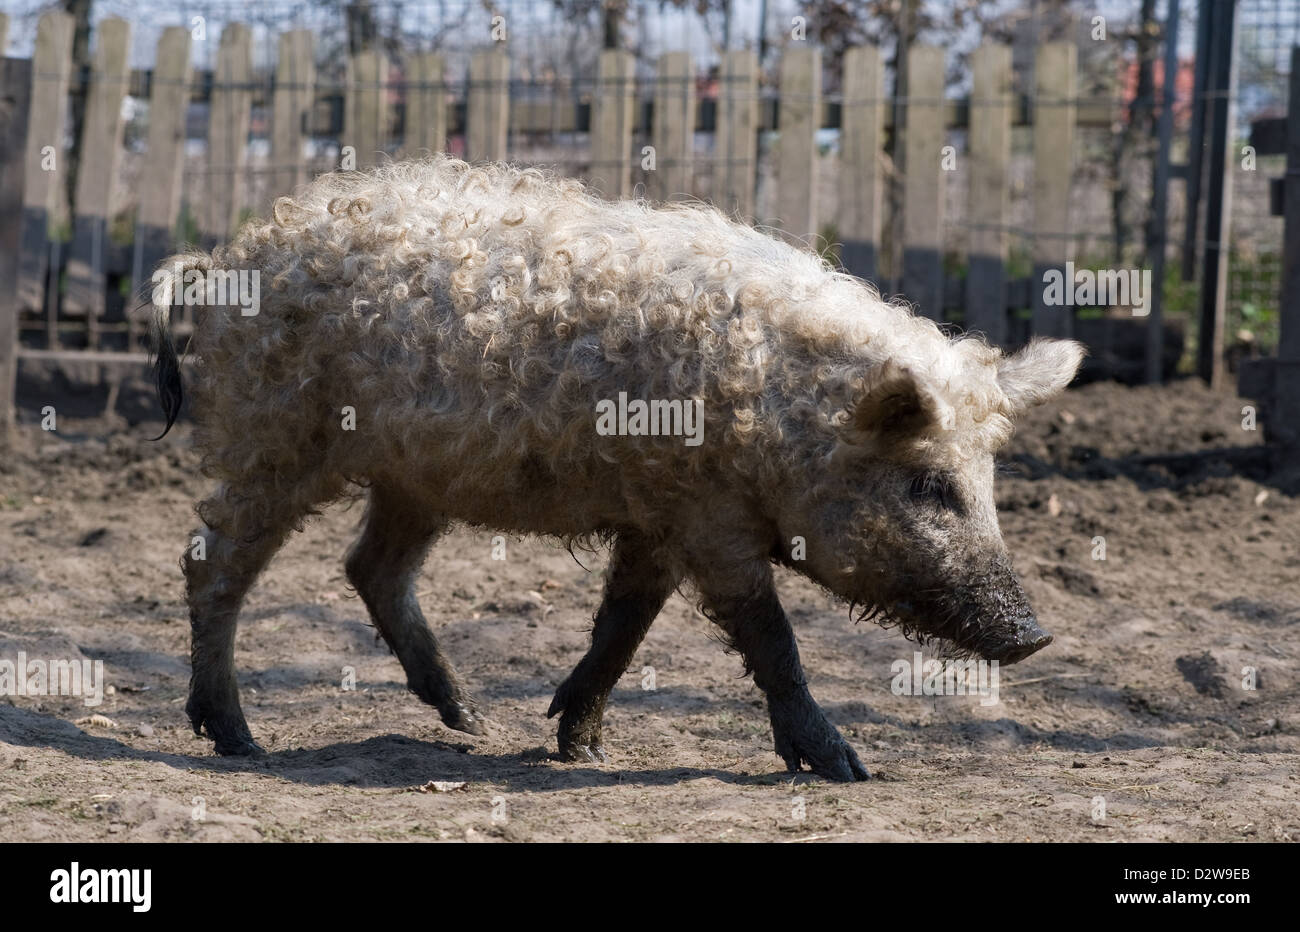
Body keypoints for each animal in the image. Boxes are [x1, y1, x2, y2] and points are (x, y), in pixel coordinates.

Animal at [149, 156, 1083, 781]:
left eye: (989, 484)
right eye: (929, 484)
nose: (1034, 634)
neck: (777, 412)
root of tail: (224, 258)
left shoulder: (658, 518)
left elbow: (624, 625)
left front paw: (580, 744)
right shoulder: (708, 518)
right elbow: (769, 635)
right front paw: (849, 769)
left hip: (413, 473)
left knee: (369, 567)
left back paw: (469, 720)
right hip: (273, 438)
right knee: (212, 564)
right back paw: (237, 738)